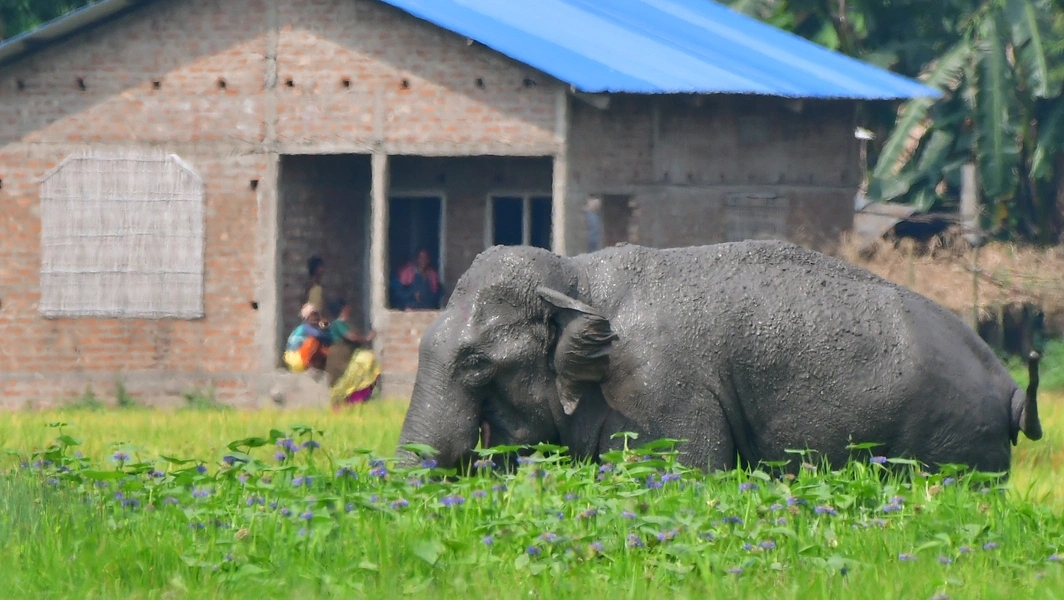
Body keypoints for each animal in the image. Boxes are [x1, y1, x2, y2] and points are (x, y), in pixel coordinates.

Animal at [395, 240, 1043, 474]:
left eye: (476, 362)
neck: (577, 275)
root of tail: (1009, 386)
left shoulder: (661, 395)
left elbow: (684, 476)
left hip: (949, 444)